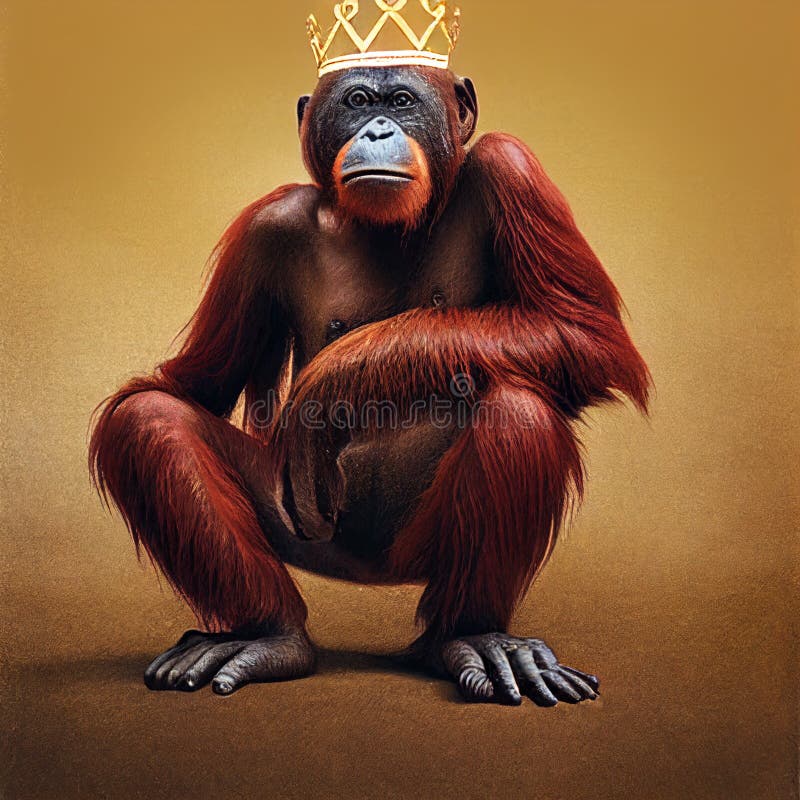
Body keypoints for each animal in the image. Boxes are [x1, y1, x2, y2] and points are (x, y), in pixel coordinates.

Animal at [90, 64, 650, 706]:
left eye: (402, 101)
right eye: (358, 101)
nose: (379, 128)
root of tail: (374, 574)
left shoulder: (512, 169)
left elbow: (585, 332)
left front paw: (334, 379)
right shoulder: (265, 228)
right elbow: (192, 387)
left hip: (419, 542)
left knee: (519, 409)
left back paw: (474, 638)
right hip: (308, 530)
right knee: (151, 419)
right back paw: (266, 636)